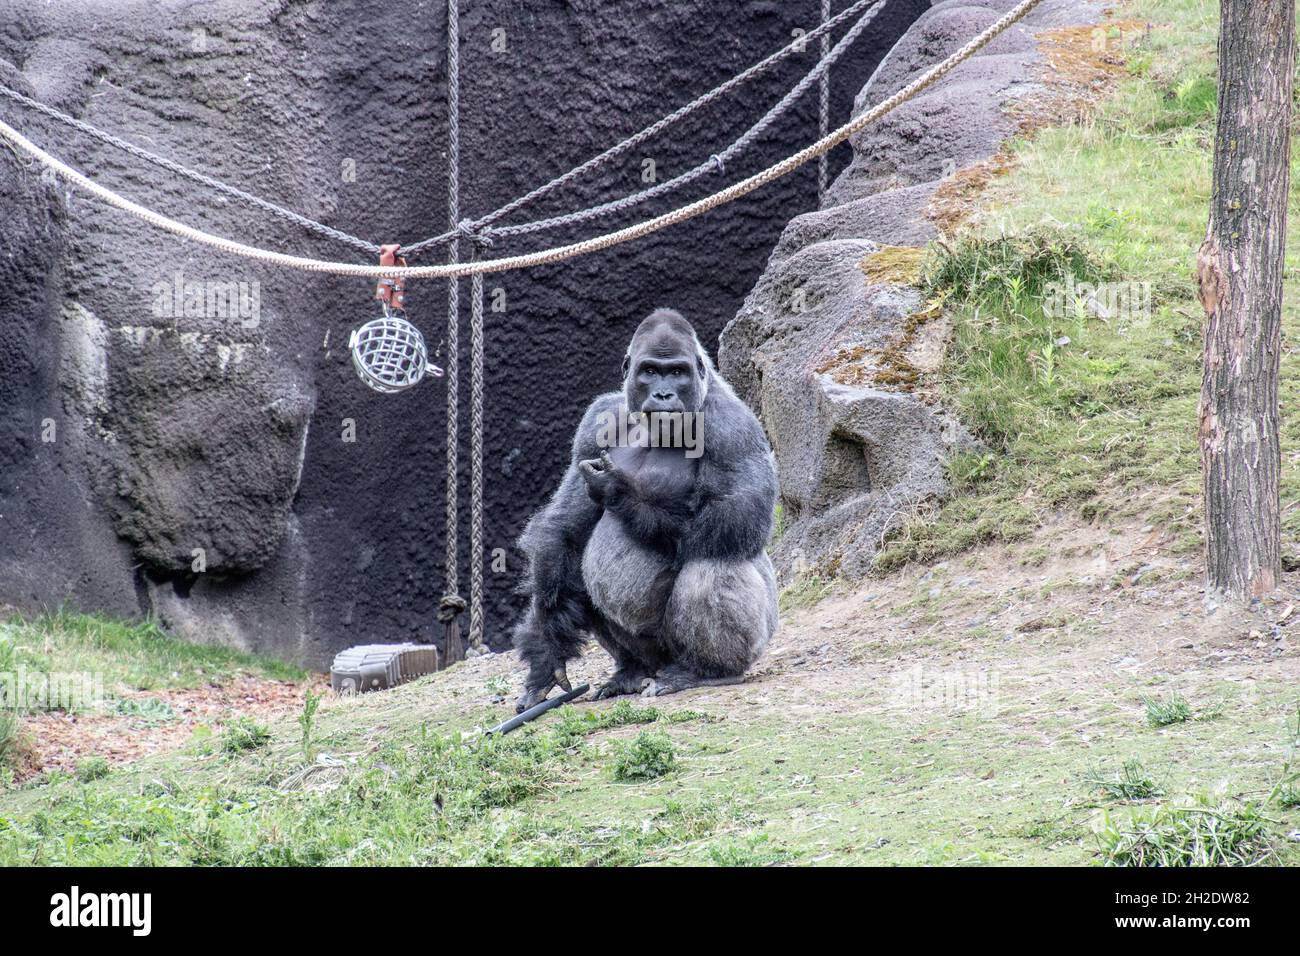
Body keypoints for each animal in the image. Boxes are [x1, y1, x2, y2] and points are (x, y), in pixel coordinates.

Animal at [512, 308, 778, 712]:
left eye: (678, 372)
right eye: (650, 371)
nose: (663, 393)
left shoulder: (733, 426)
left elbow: (740, 514)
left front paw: (622, 493)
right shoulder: (598, 417)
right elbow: (566, 530)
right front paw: (546, 650)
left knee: (714, 558)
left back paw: (707, 671)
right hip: (653, 656)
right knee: (576, 570)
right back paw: (631, 671)